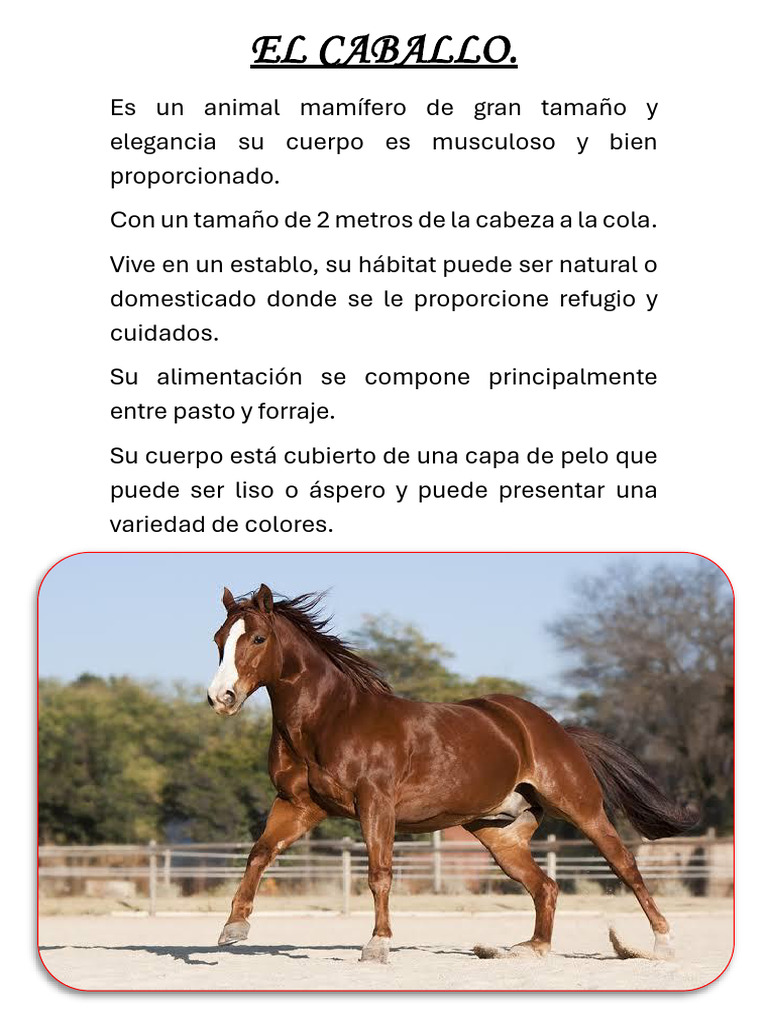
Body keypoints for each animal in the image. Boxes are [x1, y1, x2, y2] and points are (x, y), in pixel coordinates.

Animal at [207, 585, 698, 963]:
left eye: (258, 638)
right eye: (218, 639)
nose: (221, 697)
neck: (330, 719)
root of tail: (553, 729)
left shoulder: (375, 804)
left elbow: (379, 873)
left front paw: (377, 946)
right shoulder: (298, 805)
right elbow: (260, 853)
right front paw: (234, 927)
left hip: (583, 809)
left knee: (625, 866)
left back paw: (663, 944)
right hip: (499, 834)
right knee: (546, 886)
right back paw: (530, 949)